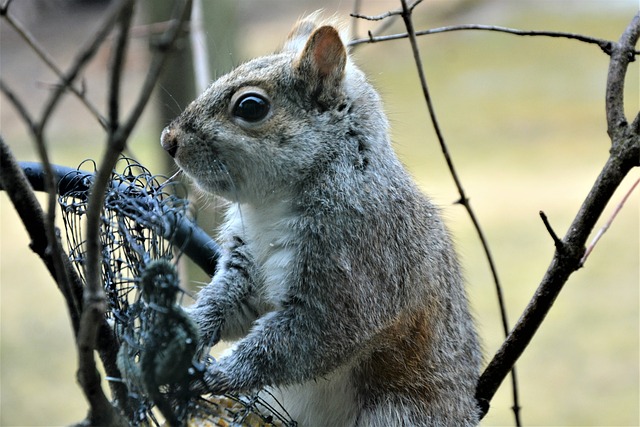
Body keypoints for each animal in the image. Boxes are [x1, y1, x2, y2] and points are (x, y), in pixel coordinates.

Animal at [160, 13, 480, 427]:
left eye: (250, 107)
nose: (169, 140)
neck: (270, 205)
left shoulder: (355, 267)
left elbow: (300, 343)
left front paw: (219, 374)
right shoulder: (245, 263)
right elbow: (228, 303)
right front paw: (185, 328)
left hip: (399, 413)